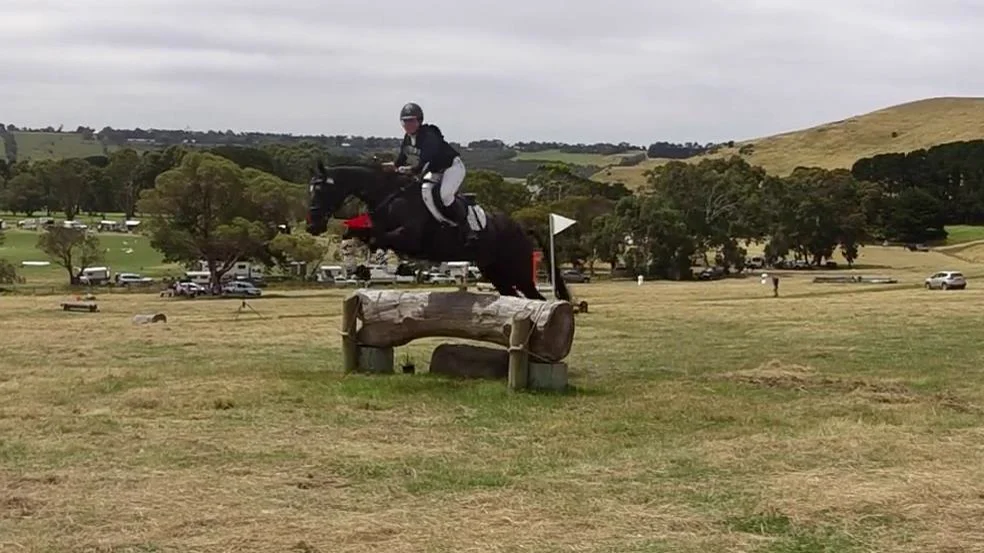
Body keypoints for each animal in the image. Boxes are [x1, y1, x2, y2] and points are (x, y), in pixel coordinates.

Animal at [305, 160, 571, 302]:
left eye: (321, 191)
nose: (312, 225)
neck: (389, 197)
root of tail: (522, 229)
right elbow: (354, 235)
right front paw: (356, 266)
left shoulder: (409, 238)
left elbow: (376, 240)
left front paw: (390, 267)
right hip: (495, 271)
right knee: (513, 296)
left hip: (518, 270)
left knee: (536, 298)